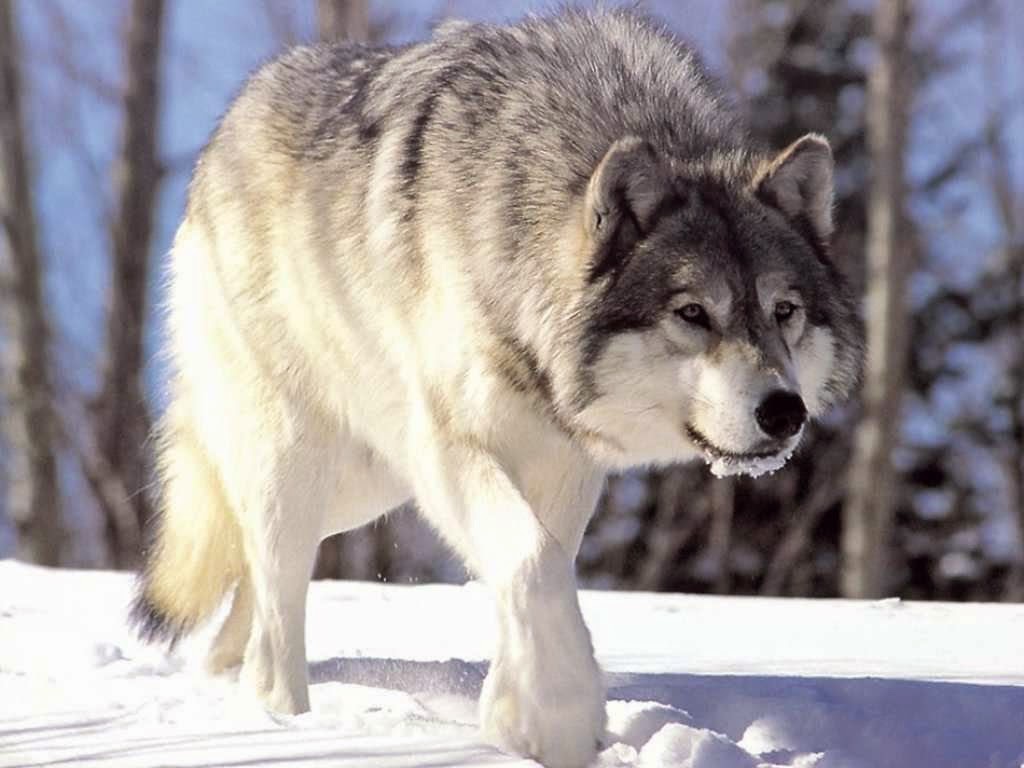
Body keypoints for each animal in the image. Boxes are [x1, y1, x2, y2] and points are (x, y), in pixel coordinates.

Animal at [131, 8, 863, 768]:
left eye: (784, 311)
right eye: (693, 314)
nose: (785, 412)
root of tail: (228, 125)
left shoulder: (565, 462)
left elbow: (542, 567)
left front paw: (518, 710)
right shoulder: (450, 446)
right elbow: (533, 560)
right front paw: (556, 716)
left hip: (364, 487)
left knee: (251, 572)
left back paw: (224, 675)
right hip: (303, 462)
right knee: (275, 598)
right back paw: (283, 718)